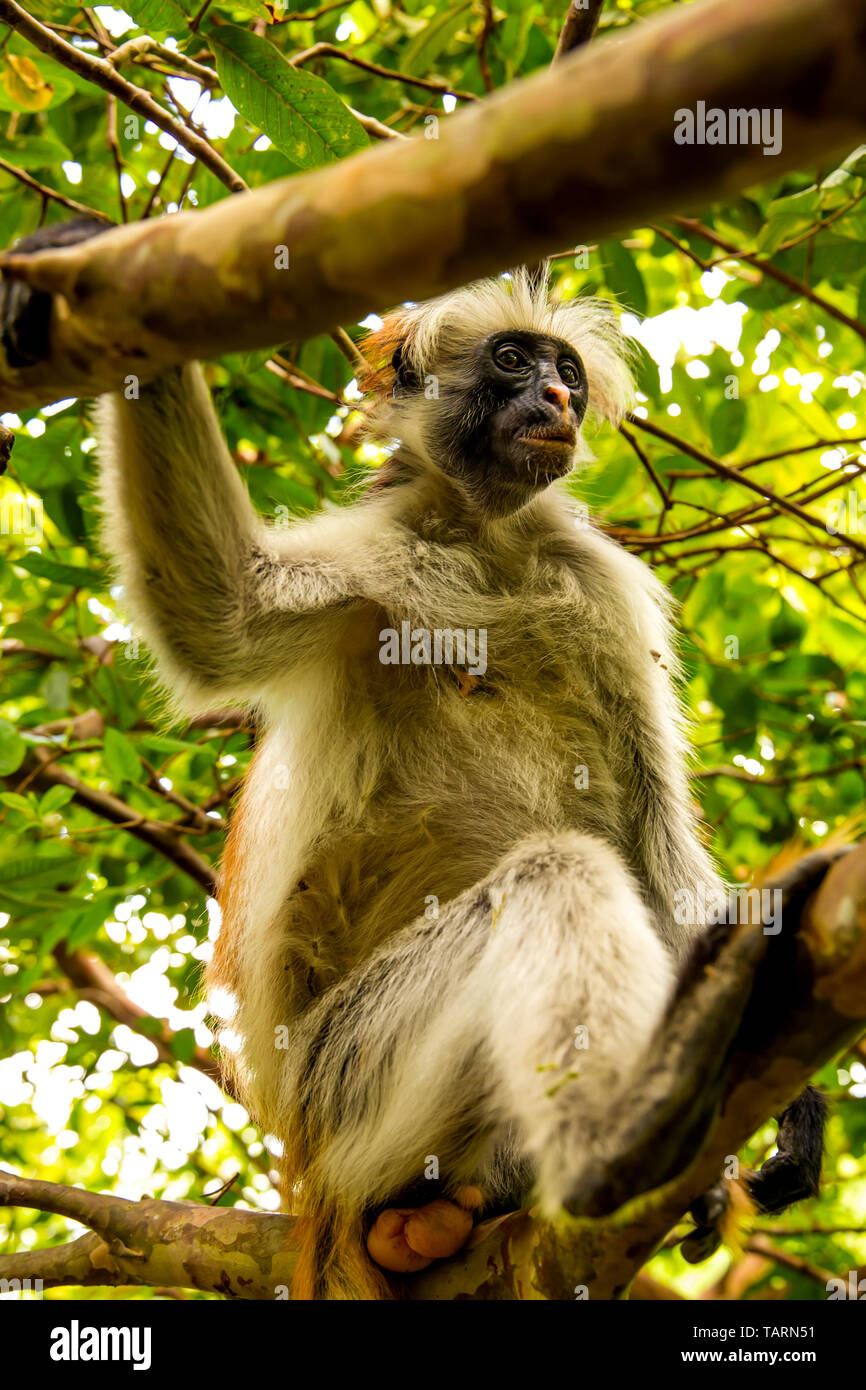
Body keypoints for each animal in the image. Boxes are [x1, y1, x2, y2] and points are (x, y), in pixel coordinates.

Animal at [1, 220, 831, 1299]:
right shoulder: (388, 550)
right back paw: (605, 1140)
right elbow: (222, 614)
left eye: (565, 370)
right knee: (552, 872)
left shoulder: (602, 594)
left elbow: (657, 846)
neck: (489, 545)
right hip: (347, 1077)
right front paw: (91, 258)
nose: (556, 397)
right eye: (513, 360)